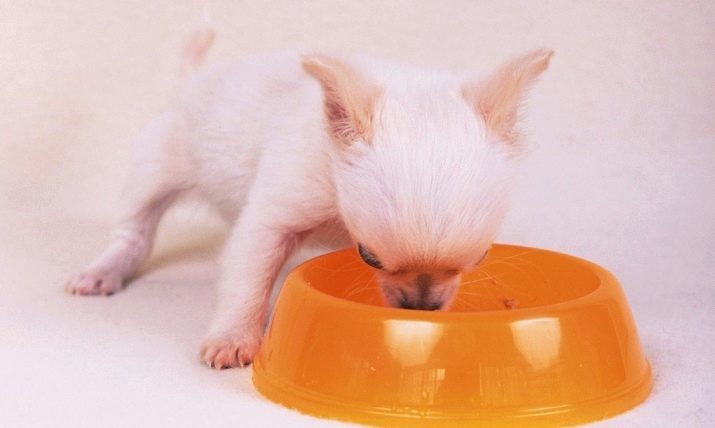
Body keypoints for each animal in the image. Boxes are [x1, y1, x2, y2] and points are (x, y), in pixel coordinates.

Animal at [65, 30, 552, 370]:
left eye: (480, 258)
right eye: (368, 256)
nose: (422, 306)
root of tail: (193, 81)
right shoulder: (269, 221)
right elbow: (247, 282)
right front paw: (233, 339)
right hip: (157, 163)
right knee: (135, 228)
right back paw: (103, 270)